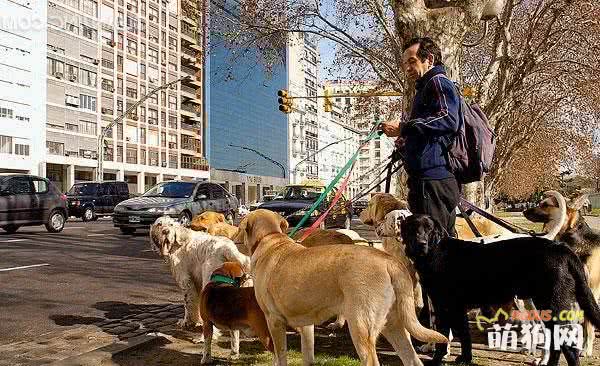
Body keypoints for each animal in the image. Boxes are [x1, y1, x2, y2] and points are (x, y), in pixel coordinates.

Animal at [234, 209, 446, 366]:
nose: (234, 235)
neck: (270, 240)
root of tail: (389, 261)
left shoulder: (274, 321)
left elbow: (280, 357)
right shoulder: (307, 325)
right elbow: (307, 356)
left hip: (361, 327)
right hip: (395, 326)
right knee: (413, 360)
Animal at [400, 212, 600, 366]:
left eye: (429, 229)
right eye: (412, 229)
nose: (421, 243)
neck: (435, 251)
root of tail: (562, 249)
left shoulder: (445, 306)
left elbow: (443, 337)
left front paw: (437, 359)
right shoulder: (456, 308)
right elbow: (464, 335)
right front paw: (465, 359)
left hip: (550, 304)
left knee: (568, 346)